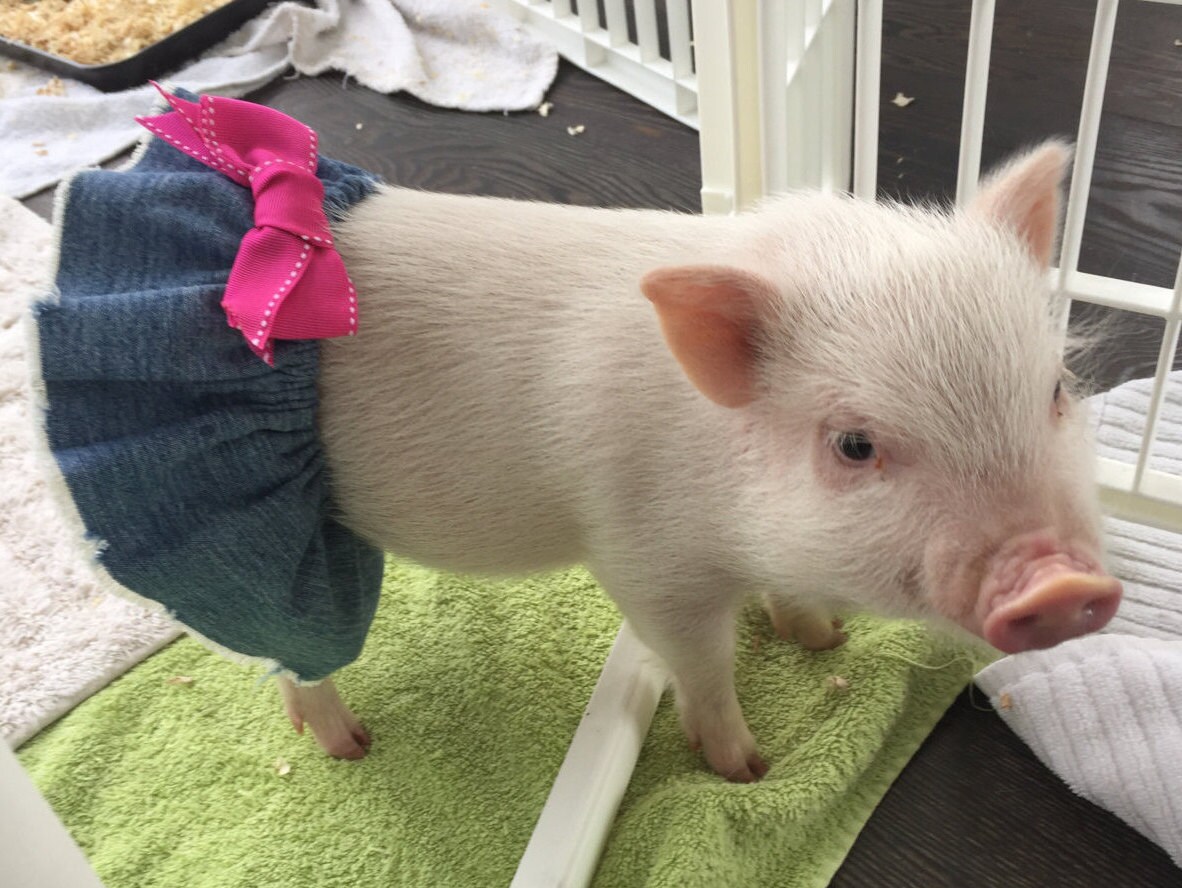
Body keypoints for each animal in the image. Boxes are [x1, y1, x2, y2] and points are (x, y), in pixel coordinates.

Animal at [278, 140, 1122, 781]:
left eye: (1055, 389)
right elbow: (705, 660)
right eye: (855, 445)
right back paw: (352, 748)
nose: (1060, 581)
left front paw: (825, 640)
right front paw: (748, 769)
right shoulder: (642, 558)